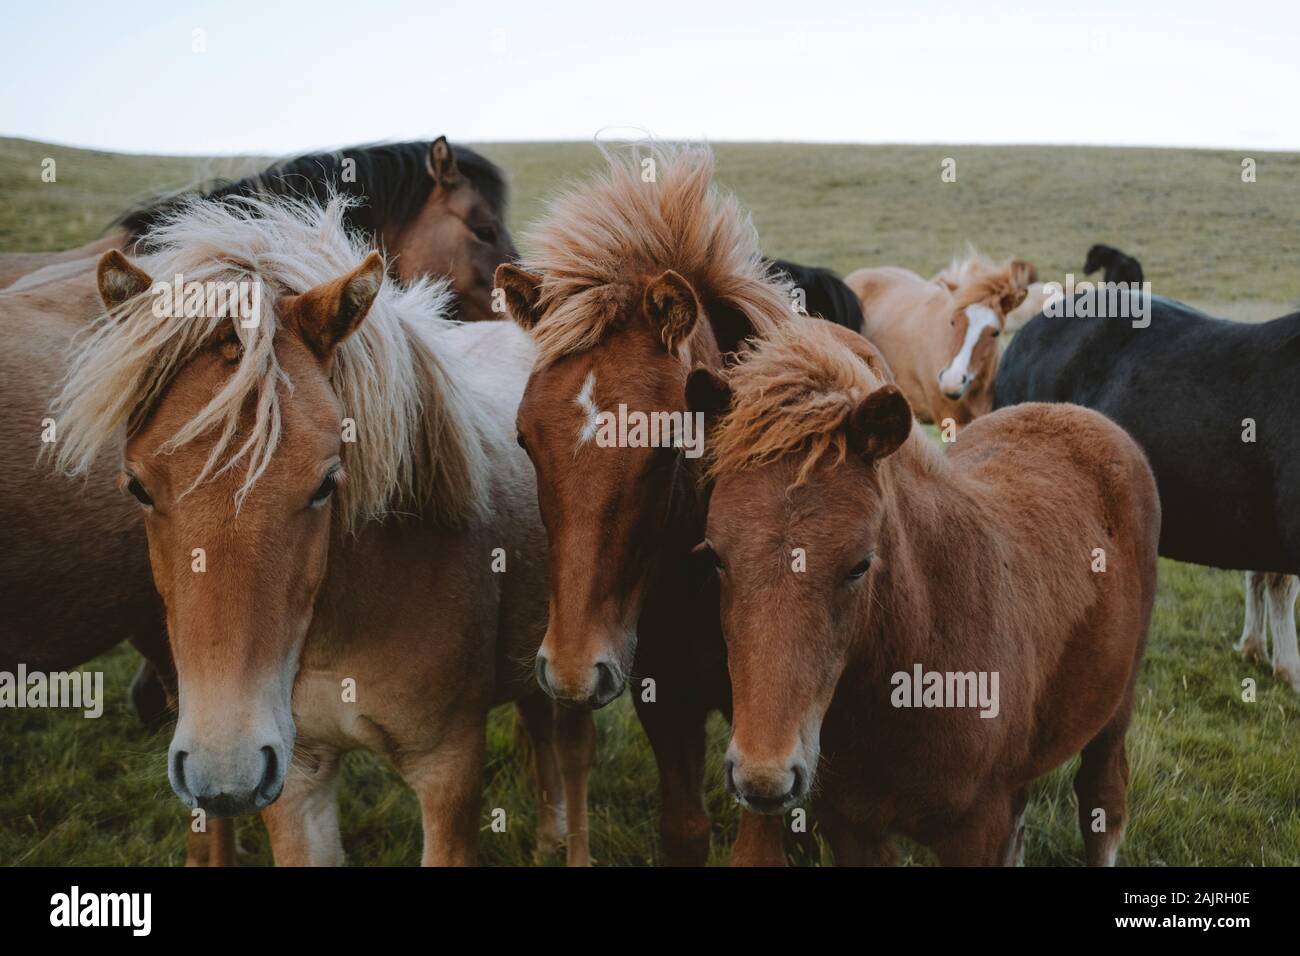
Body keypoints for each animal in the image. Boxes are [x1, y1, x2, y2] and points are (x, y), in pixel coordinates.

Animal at [48, 194, 594, 866]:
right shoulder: (296, 774)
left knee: (569, 745)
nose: (222, 772)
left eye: (326, 483)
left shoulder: (449, 770)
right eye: (138, 488)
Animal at [686, 319, 1160, 865]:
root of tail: (1078, 415)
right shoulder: (852, 827)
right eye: (715, 556)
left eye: (860, 565)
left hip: (1114, 710)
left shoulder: (976, 831)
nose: (764, 780)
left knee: (1102, 799)